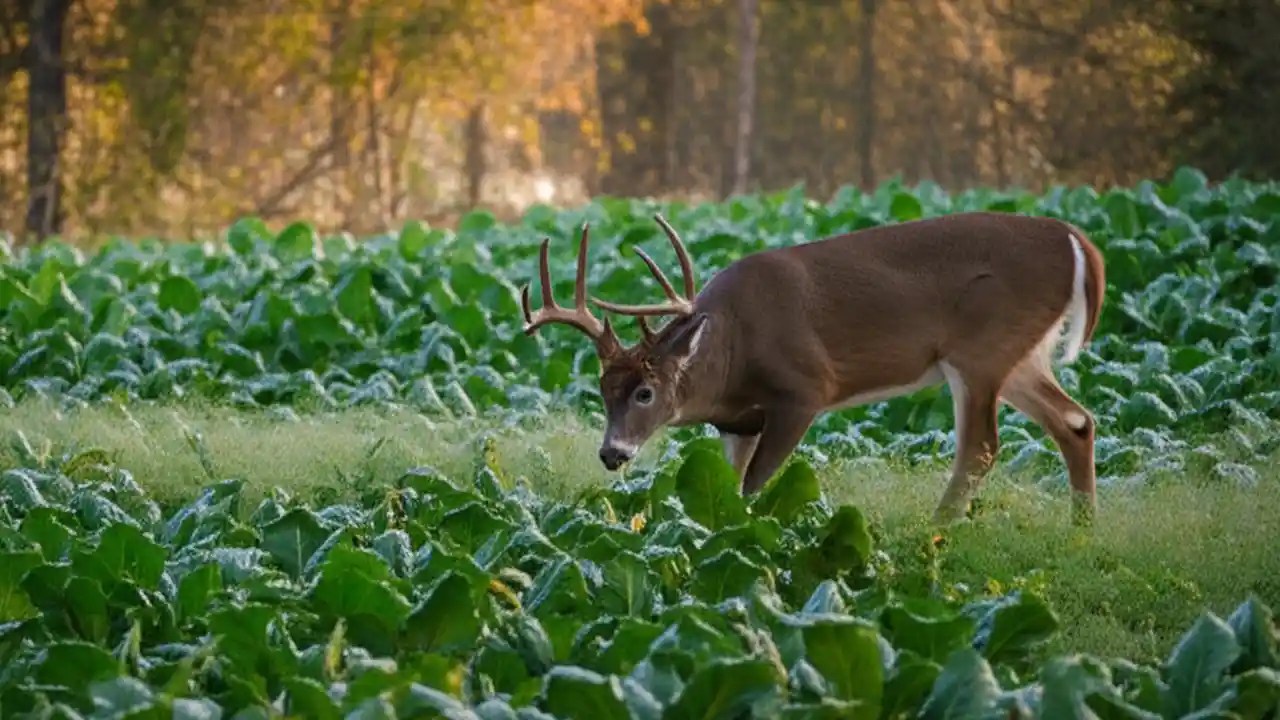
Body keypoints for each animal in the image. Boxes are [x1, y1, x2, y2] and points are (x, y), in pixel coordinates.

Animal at [519, 211, 1106, 525]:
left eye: (645, 392)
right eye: (602, 391)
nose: (612, 454)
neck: (732, 357)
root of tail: (1078, 242)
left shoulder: (804, 390)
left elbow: (753, 488)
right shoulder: (736, 424)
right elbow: (730, 486)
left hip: (980, 349)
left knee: (982, 446)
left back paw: (935, 529)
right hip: (1019, 355)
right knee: (1076, 421)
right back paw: (1081, 529)